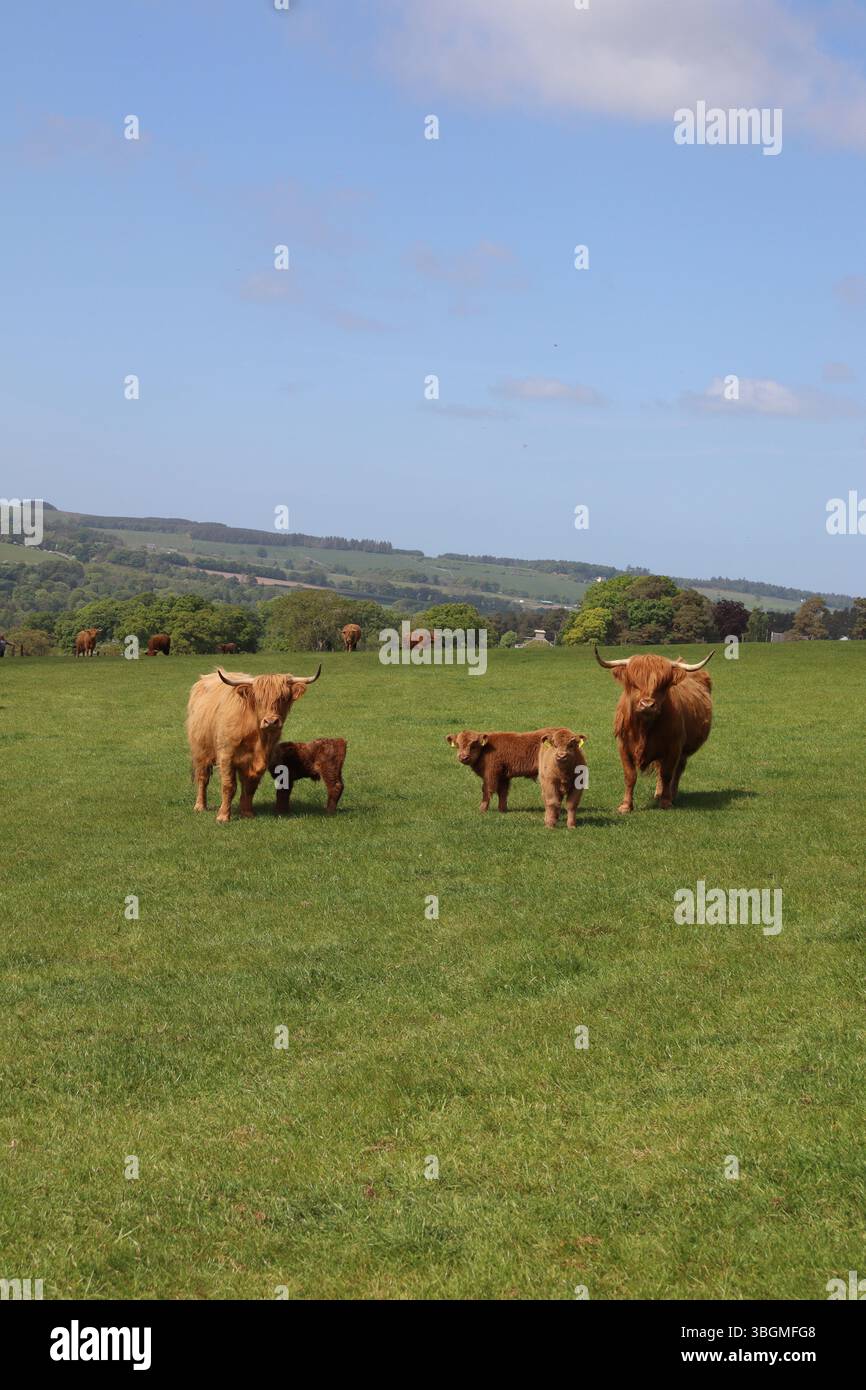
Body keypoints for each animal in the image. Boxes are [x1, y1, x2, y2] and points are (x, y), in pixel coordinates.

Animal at [186, 664, 321, 823]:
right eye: (258, 699)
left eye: (282, 698)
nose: (271, 722)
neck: (257, 737)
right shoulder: (226, 756)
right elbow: (228, 786)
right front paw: (223, 816)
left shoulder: (261, 759)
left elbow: (250, 786)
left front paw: (247, 812)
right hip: (200, 751)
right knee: (202, 777)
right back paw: (200, 806)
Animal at [594, 646, 714, 813]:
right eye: (634, 683)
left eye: (663, 685)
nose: (647, 704)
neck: (644, 727)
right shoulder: (623, 745)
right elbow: (630, 775)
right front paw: (626, 805)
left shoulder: (674, 747)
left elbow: (667, 774)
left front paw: (666, 802)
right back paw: (658, 793)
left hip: (683, 751)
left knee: (677, 770)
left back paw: (671, 794)